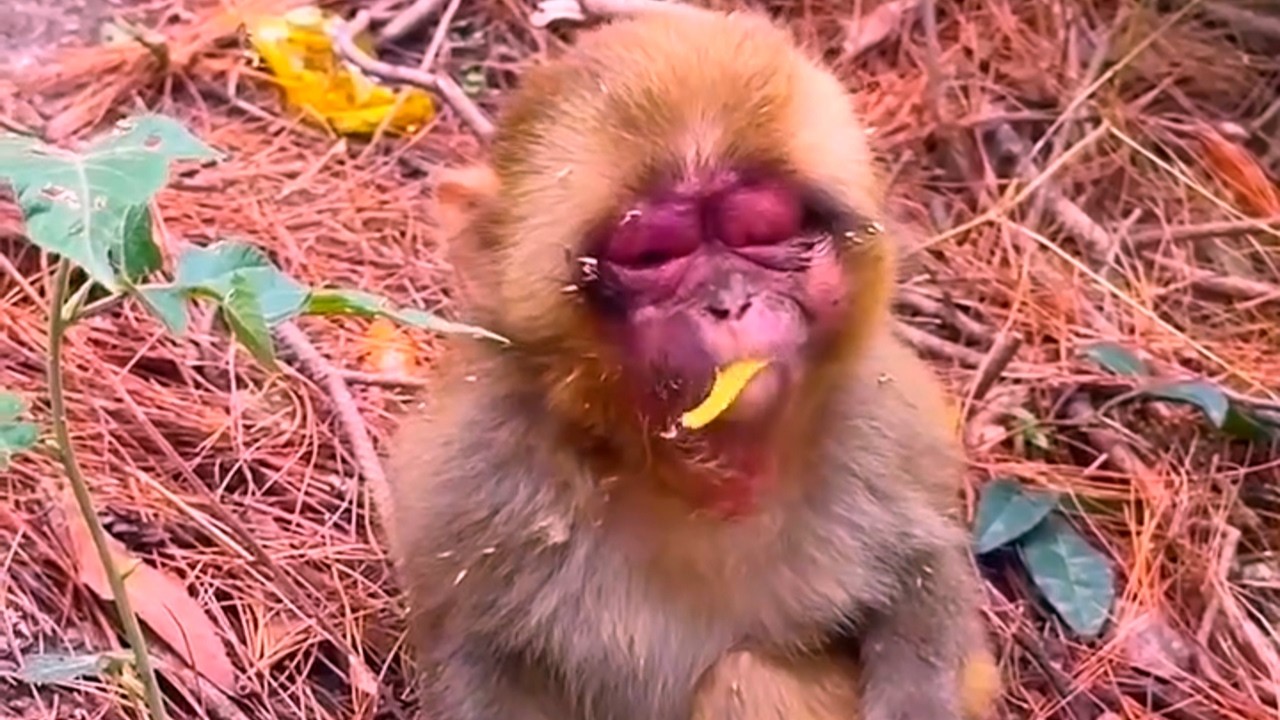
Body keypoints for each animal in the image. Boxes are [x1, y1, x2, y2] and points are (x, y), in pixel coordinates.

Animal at [381, 4, 1000, 720]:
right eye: (653, 254)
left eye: (760, 231)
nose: (729, 301)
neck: (702, 479)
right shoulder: (469, 476)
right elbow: (478, 663)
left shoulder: (888, 422)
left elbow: (925, 587)